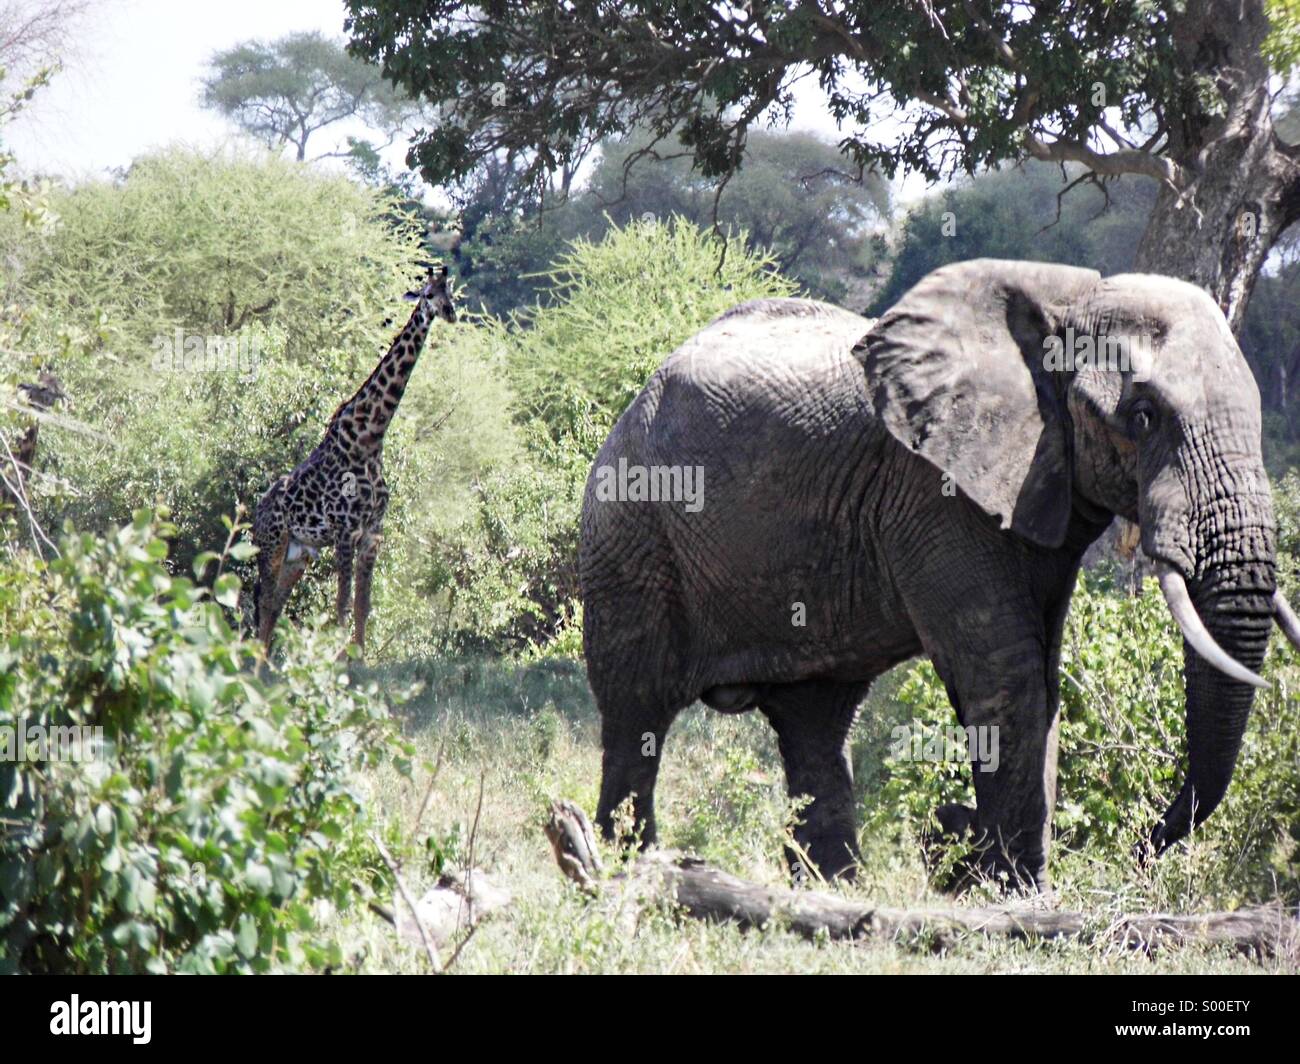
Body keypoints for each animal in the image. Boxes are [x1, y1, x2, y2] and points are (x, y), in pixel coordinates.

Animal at [253, 266, 455, 654]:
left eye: (449, 292)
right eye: (428, 294)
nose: (449, 313)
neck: (370, 437)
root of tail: (254, 510)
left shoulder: (373, 530)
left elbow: (364, 604)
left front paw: (359, 658)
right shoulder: (346, 529)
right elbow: (343, 604)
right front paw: (339, 659)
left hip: (300, 552)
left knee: (276, 602)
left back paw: (263, 660)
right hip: (272, 543)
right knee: (263, 600)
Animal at [578, 258, 1300, 891]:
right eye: (1143, 416)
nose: (1142, 847)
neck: (1069, 299)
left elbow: (1042, 678)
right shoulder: (936, 494)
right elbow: (1006, 678)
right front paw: (1018, 898)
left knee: (815, 724)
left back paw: (832, 892)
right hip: (630, 533)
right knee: (637, 712)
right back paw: (627, 871)